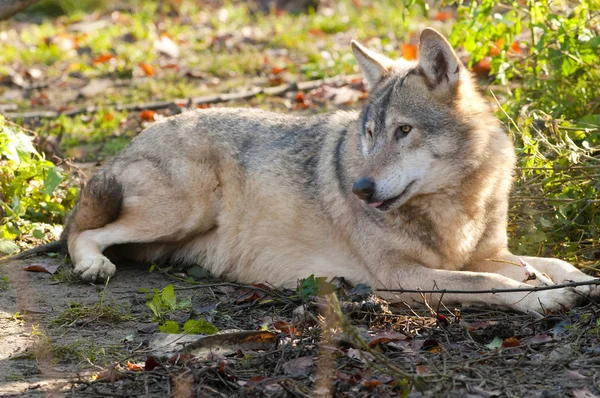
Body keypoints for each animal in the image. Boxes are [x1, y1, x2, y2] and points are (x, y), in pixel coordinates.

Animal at [23, 27, 600, 314]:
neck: (458, 202)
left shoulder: (489, 251)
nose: (360, 188)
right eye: (368, 133)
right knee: (77, 233)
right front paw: (546, 297)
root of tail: (135, 136)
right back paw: (92, 266)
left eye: (403, 131)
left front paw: (579, 281)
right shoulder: (401, 277)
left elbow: (550, 263)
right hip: (185, 207)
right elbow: (490, 282)